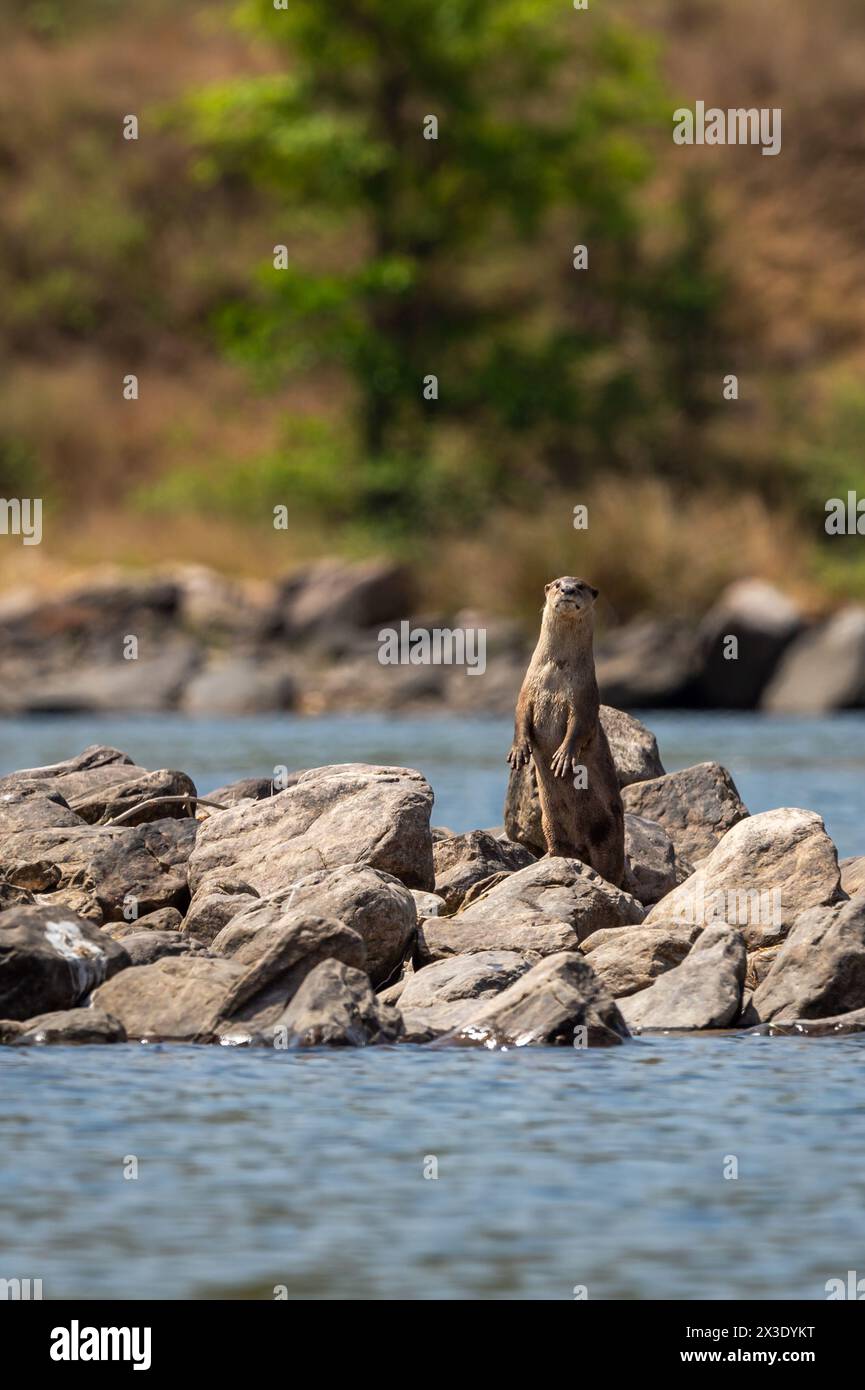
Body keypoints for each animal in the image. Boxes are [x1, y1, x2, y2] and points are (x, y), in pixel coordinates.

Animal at [507, 576, 625, 885]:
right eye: (558, 583)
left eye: (581, 586)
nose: (568, 590)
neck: (556, 672)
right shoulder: (526, 691)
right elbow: (519, 718)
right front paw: (519, 751)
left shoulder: (584, 697)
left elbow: (578, 727)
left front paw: (563, 756)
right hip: (550, 822)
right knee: (559, 844)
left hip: (607, 830)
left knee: (609, 862)